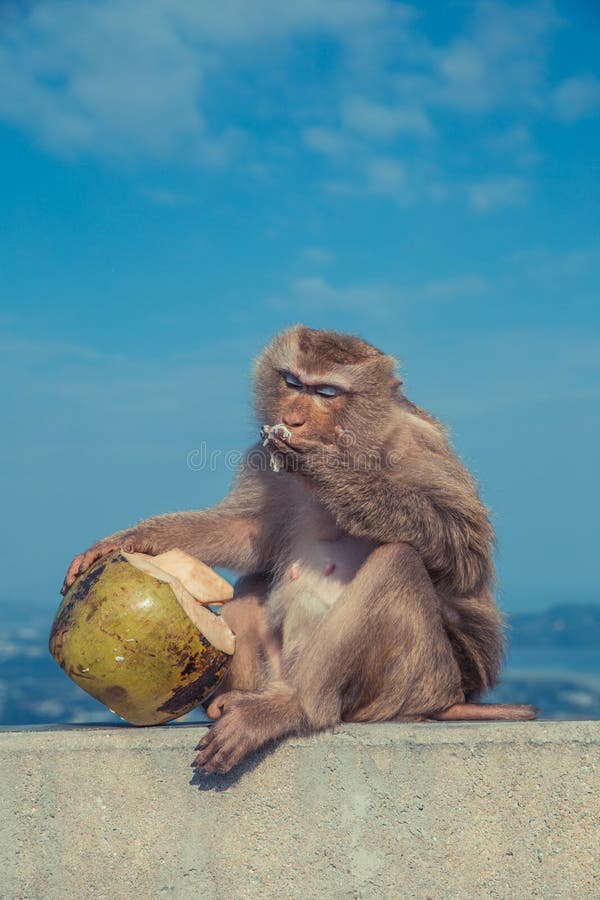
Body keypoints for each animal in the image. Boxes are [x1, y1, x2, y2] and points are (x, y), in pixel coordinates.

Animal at [61, 325, 537, 774]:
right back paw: (235, 699)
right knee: (253, 585)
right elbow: (248, 534)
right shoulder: (264, 455)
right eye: (292, 382)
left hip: (411, 685)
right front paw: (135, 539)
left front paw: (331, 471)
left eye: (326, 392)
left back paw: (295, 708)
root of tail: (447, 698)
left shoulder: (420, 446)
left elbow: (464, 550)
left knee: (398, 562)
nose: (292, 417)